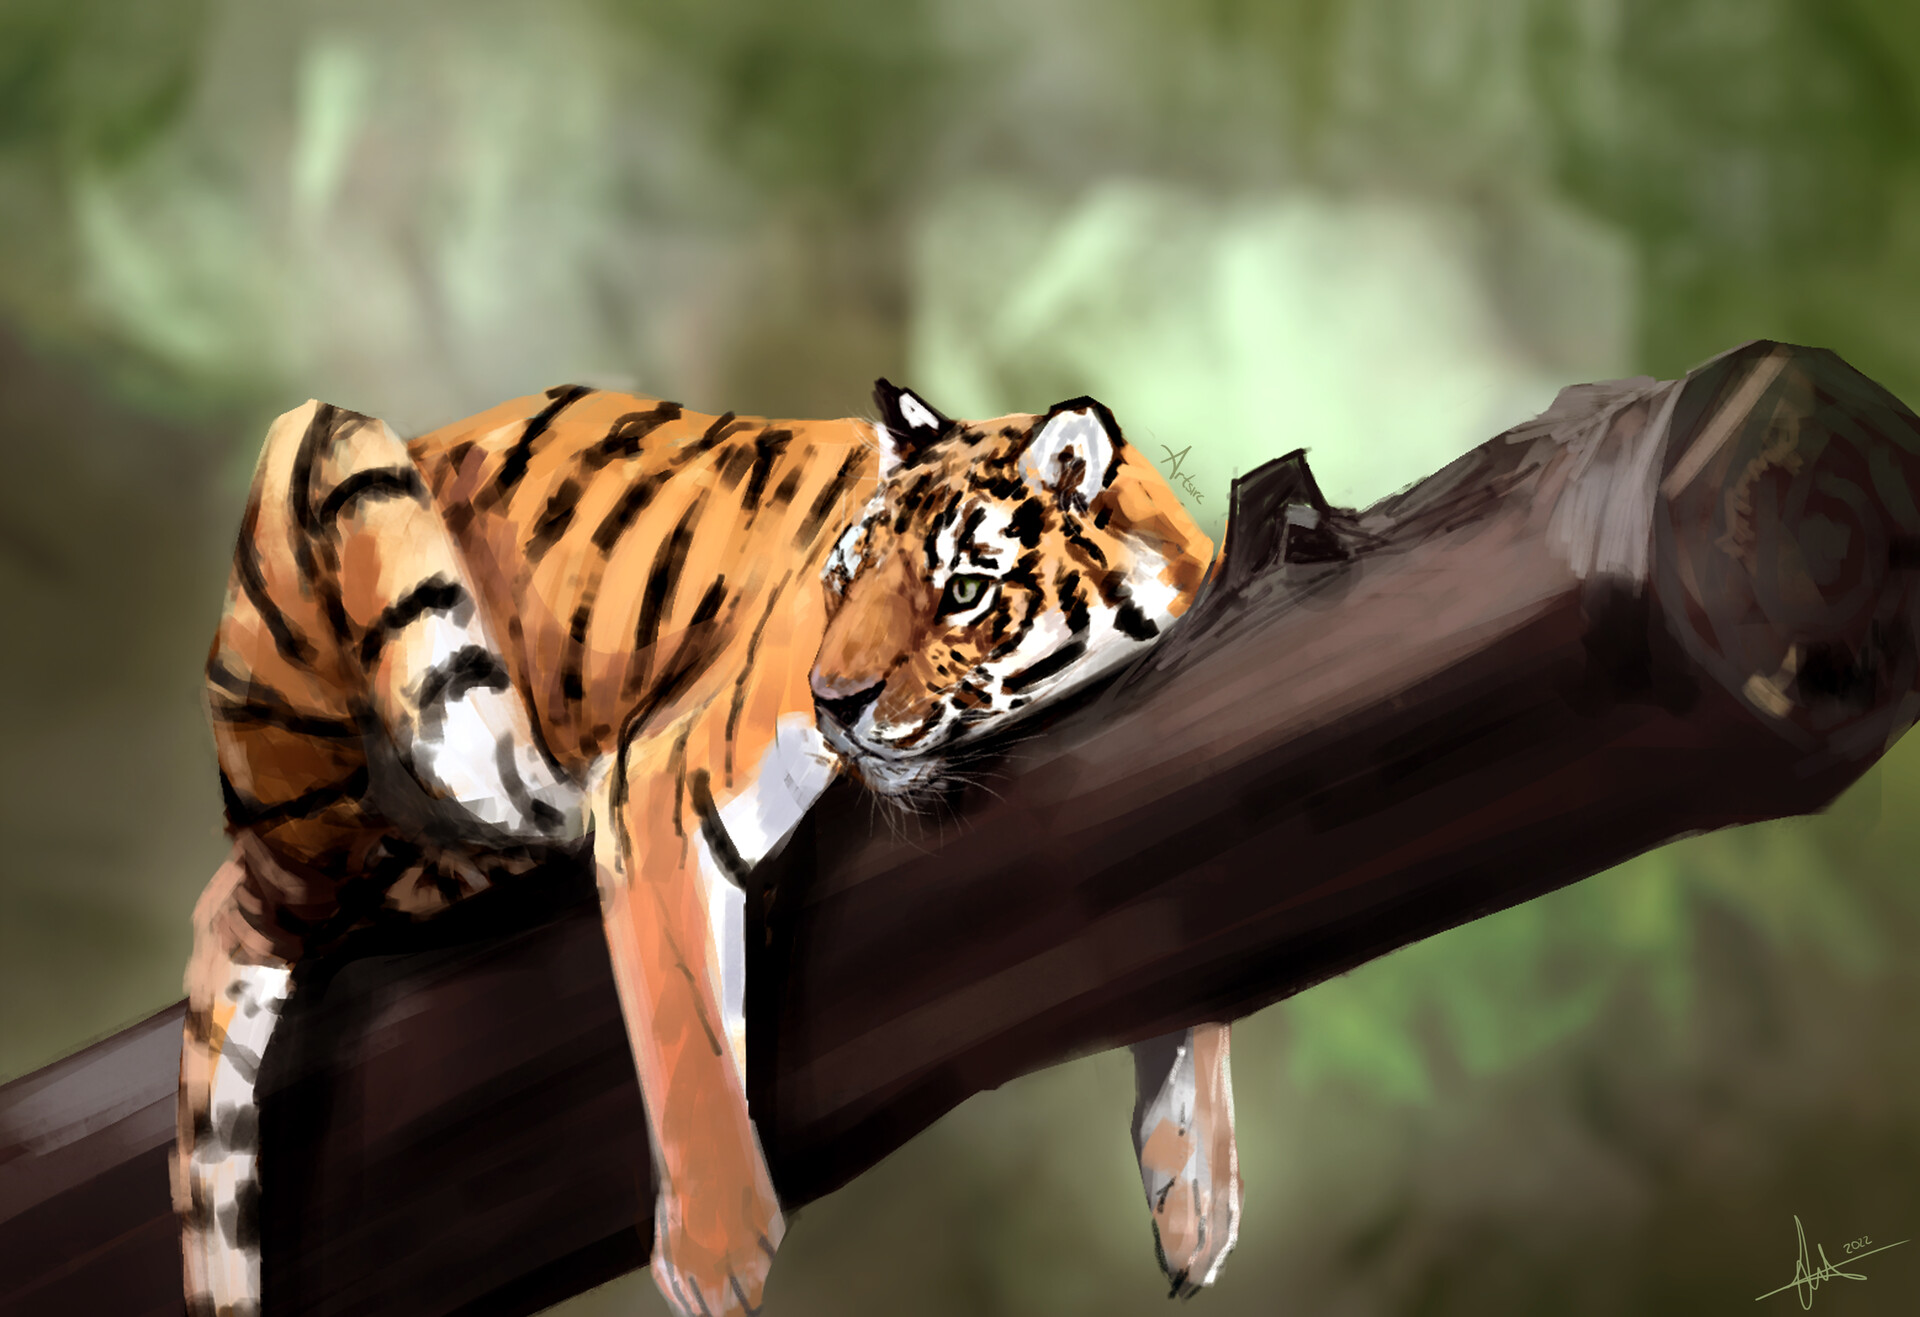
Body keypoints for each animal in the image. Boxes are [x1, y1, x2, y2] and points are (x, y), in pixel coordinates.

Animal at [175, 377, 1241, 1316]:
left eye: (967, 591)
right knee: (279, 900)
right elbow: (683, 1022)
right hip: (340, 473)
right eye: (846, 576)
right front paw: (719, 1260)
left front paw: (1196, 1198)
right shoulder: (662, 780)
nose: (833, 700)